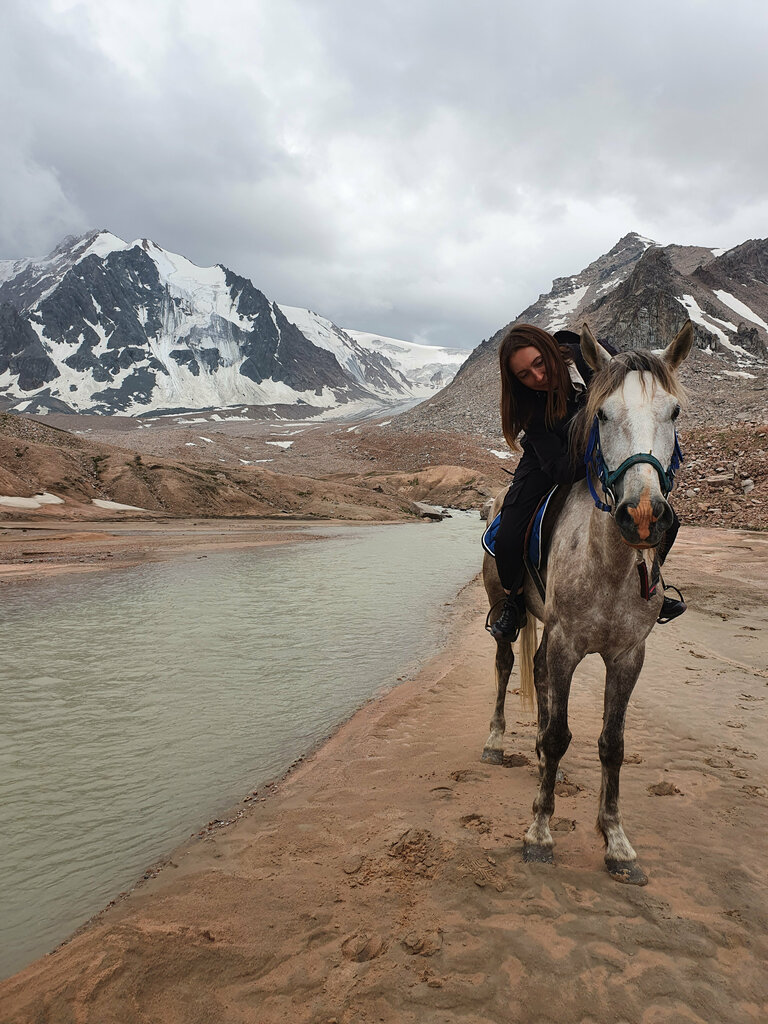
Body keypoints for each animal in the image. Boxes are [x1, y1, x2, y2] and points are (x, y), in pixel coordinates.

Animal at [481, 320, 693, 885]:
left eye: (674, 411)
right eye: (601, 414)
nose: (642, 516)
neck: (611, 566)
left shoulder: (627, 656)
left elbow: (610, 743)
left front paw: (616, 842)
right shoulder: (567, 645)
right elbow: (559, 736)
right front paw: (539, 834)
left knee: (535, 673)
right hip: (505, 607)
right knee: (506, 665)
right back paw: (496, 742)